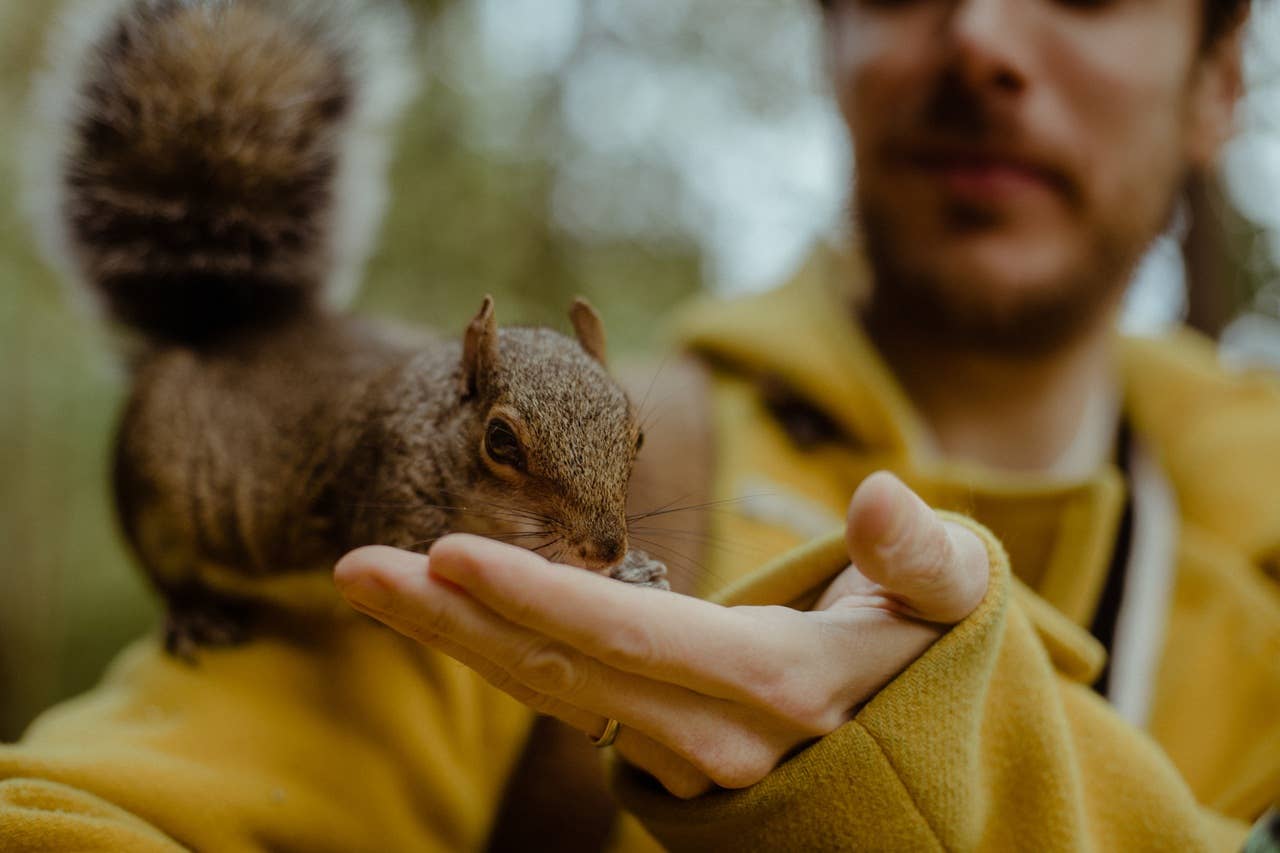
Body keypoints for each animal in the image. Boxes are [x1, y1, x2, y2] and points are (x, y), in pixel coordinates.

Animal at [27, 0, 668, 659]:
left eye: (638, 437)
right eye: (499, 442)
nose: (604, 549)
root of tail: (215, 331)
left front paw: (633, 570)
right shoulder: (384, 502)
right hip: (149, 500)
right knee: (167, 571)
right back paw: (194, 614)